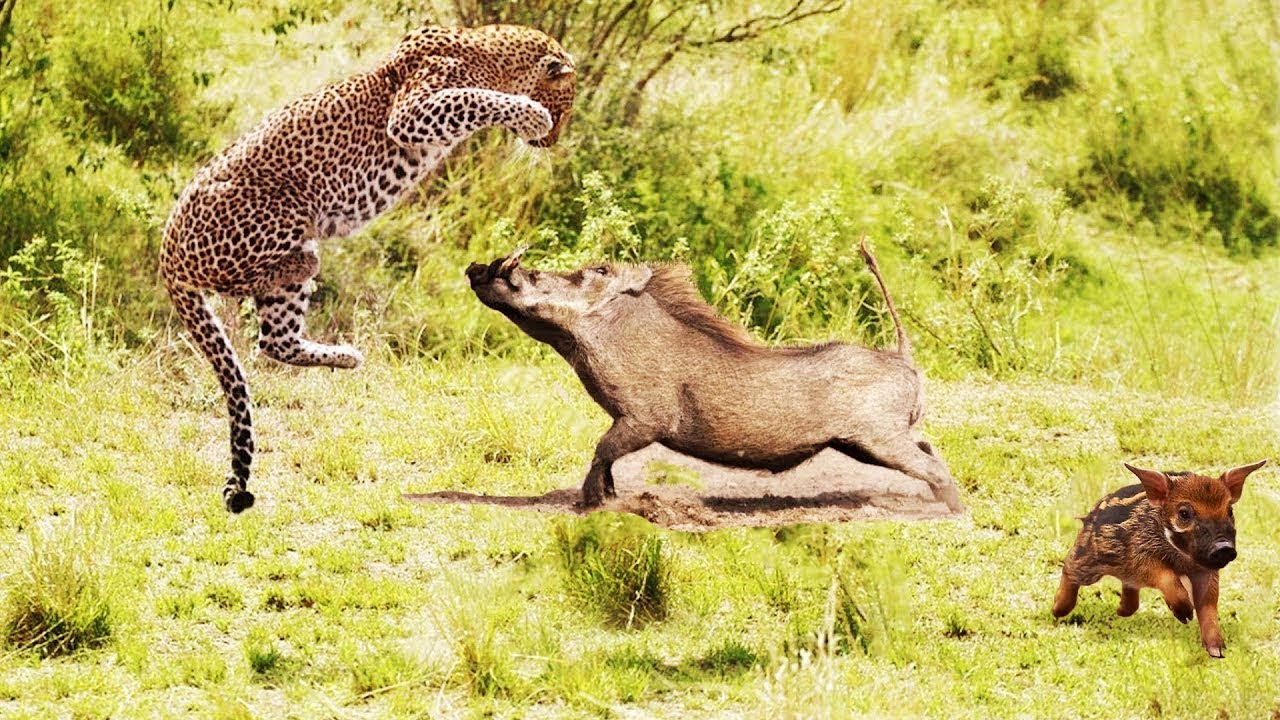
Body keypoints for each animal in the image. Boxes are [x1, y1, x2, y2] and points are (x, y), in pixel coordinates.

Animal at [161, 24, 576, 512]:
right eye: (564, 107)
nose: (552, 141)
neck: (493, 58)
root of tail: (166, 246)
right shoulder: (414, 110)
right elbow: (474, 98)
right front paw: (531, 115)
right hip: (278, 212)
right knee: (246, 279)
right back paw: (303, 260)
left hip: (280, 295)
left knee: (275, 340)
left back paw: (345, 355)